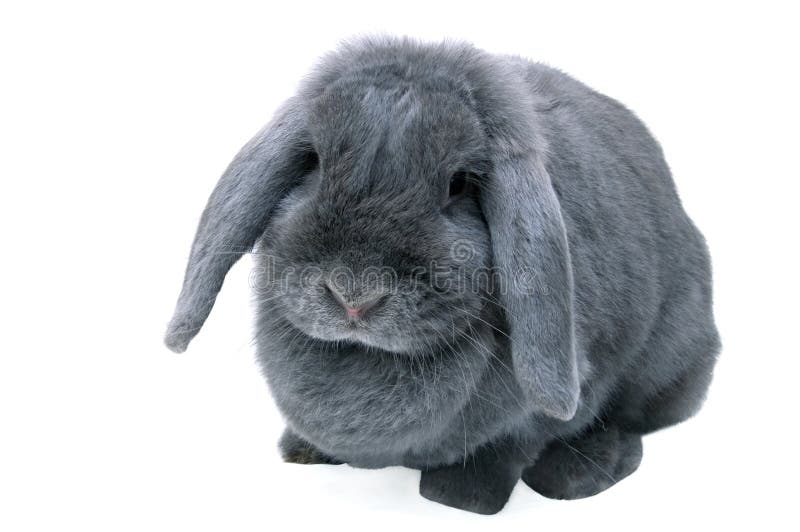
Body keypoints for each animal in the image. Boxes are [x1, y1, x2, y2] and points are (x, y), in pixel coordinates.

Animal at [164, 36, 720, 514]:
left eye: (459, 185)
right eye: (316, 162)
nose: (354, 295)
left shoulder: (535, 410)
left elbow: (504, 449)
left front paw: (463, 496)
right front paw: (303, 450)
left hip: (665, 357)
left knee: (631, 419)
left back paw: (575, 474)